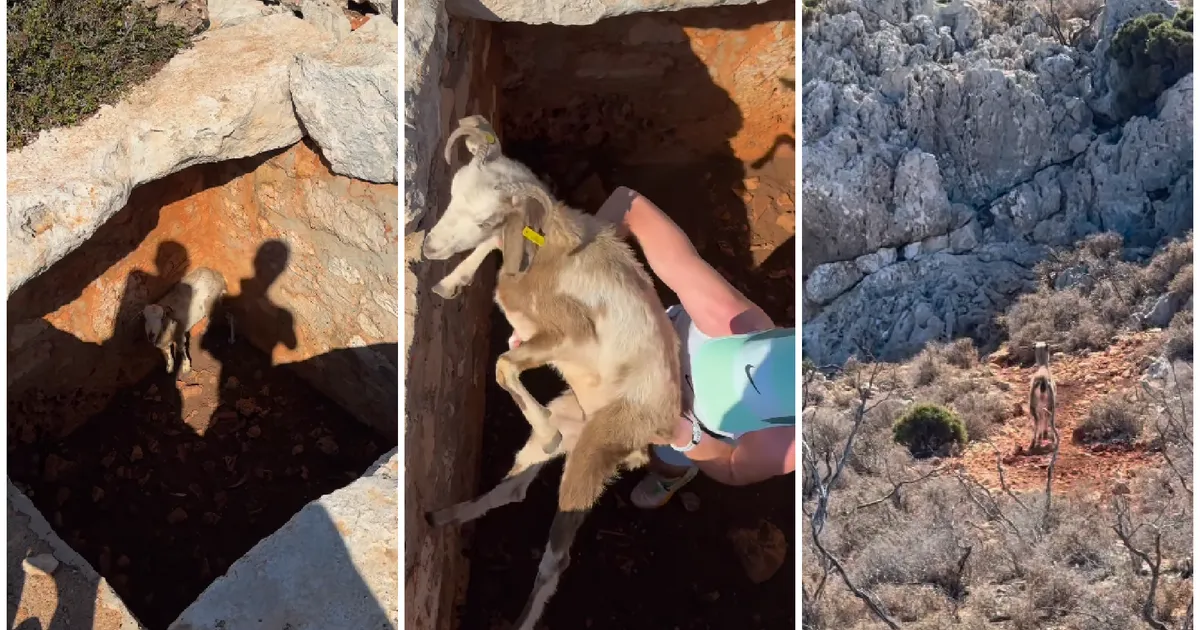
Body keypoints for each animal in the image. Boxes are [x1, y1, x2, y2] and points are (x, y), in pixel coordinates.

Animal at [422, 115, 682, 630]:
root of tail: (651, 435)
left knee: (556, 560)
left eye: (485, 217)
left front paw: (545, 436)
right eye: (454, 191)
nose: (429, 247)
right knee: (516, 487)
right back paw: (445, 516)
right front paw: (450, 282)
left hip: (591, 456)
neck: (551, 257)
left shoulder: (567, 337)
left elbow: (504, 365)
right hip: (573, 417)